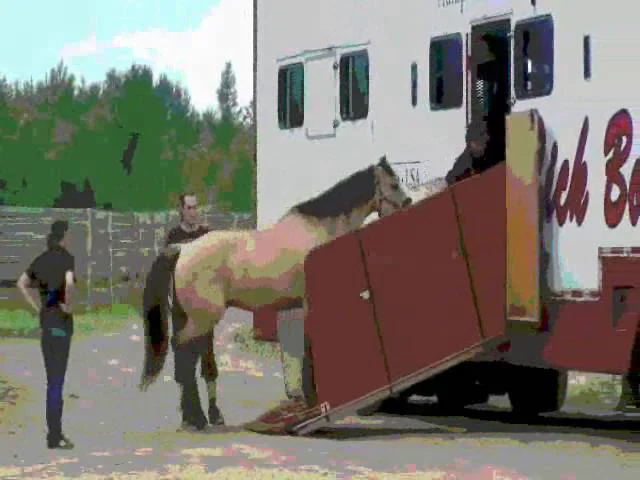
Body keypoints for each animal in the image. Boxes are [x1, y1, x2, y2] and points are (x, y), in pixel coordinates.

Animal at [138, 156, 412, 403]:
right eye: (393, 184)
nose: (408, 204)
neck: (318, 231)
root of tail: (184, 248)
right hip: (203, 318)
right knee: (183, 350)